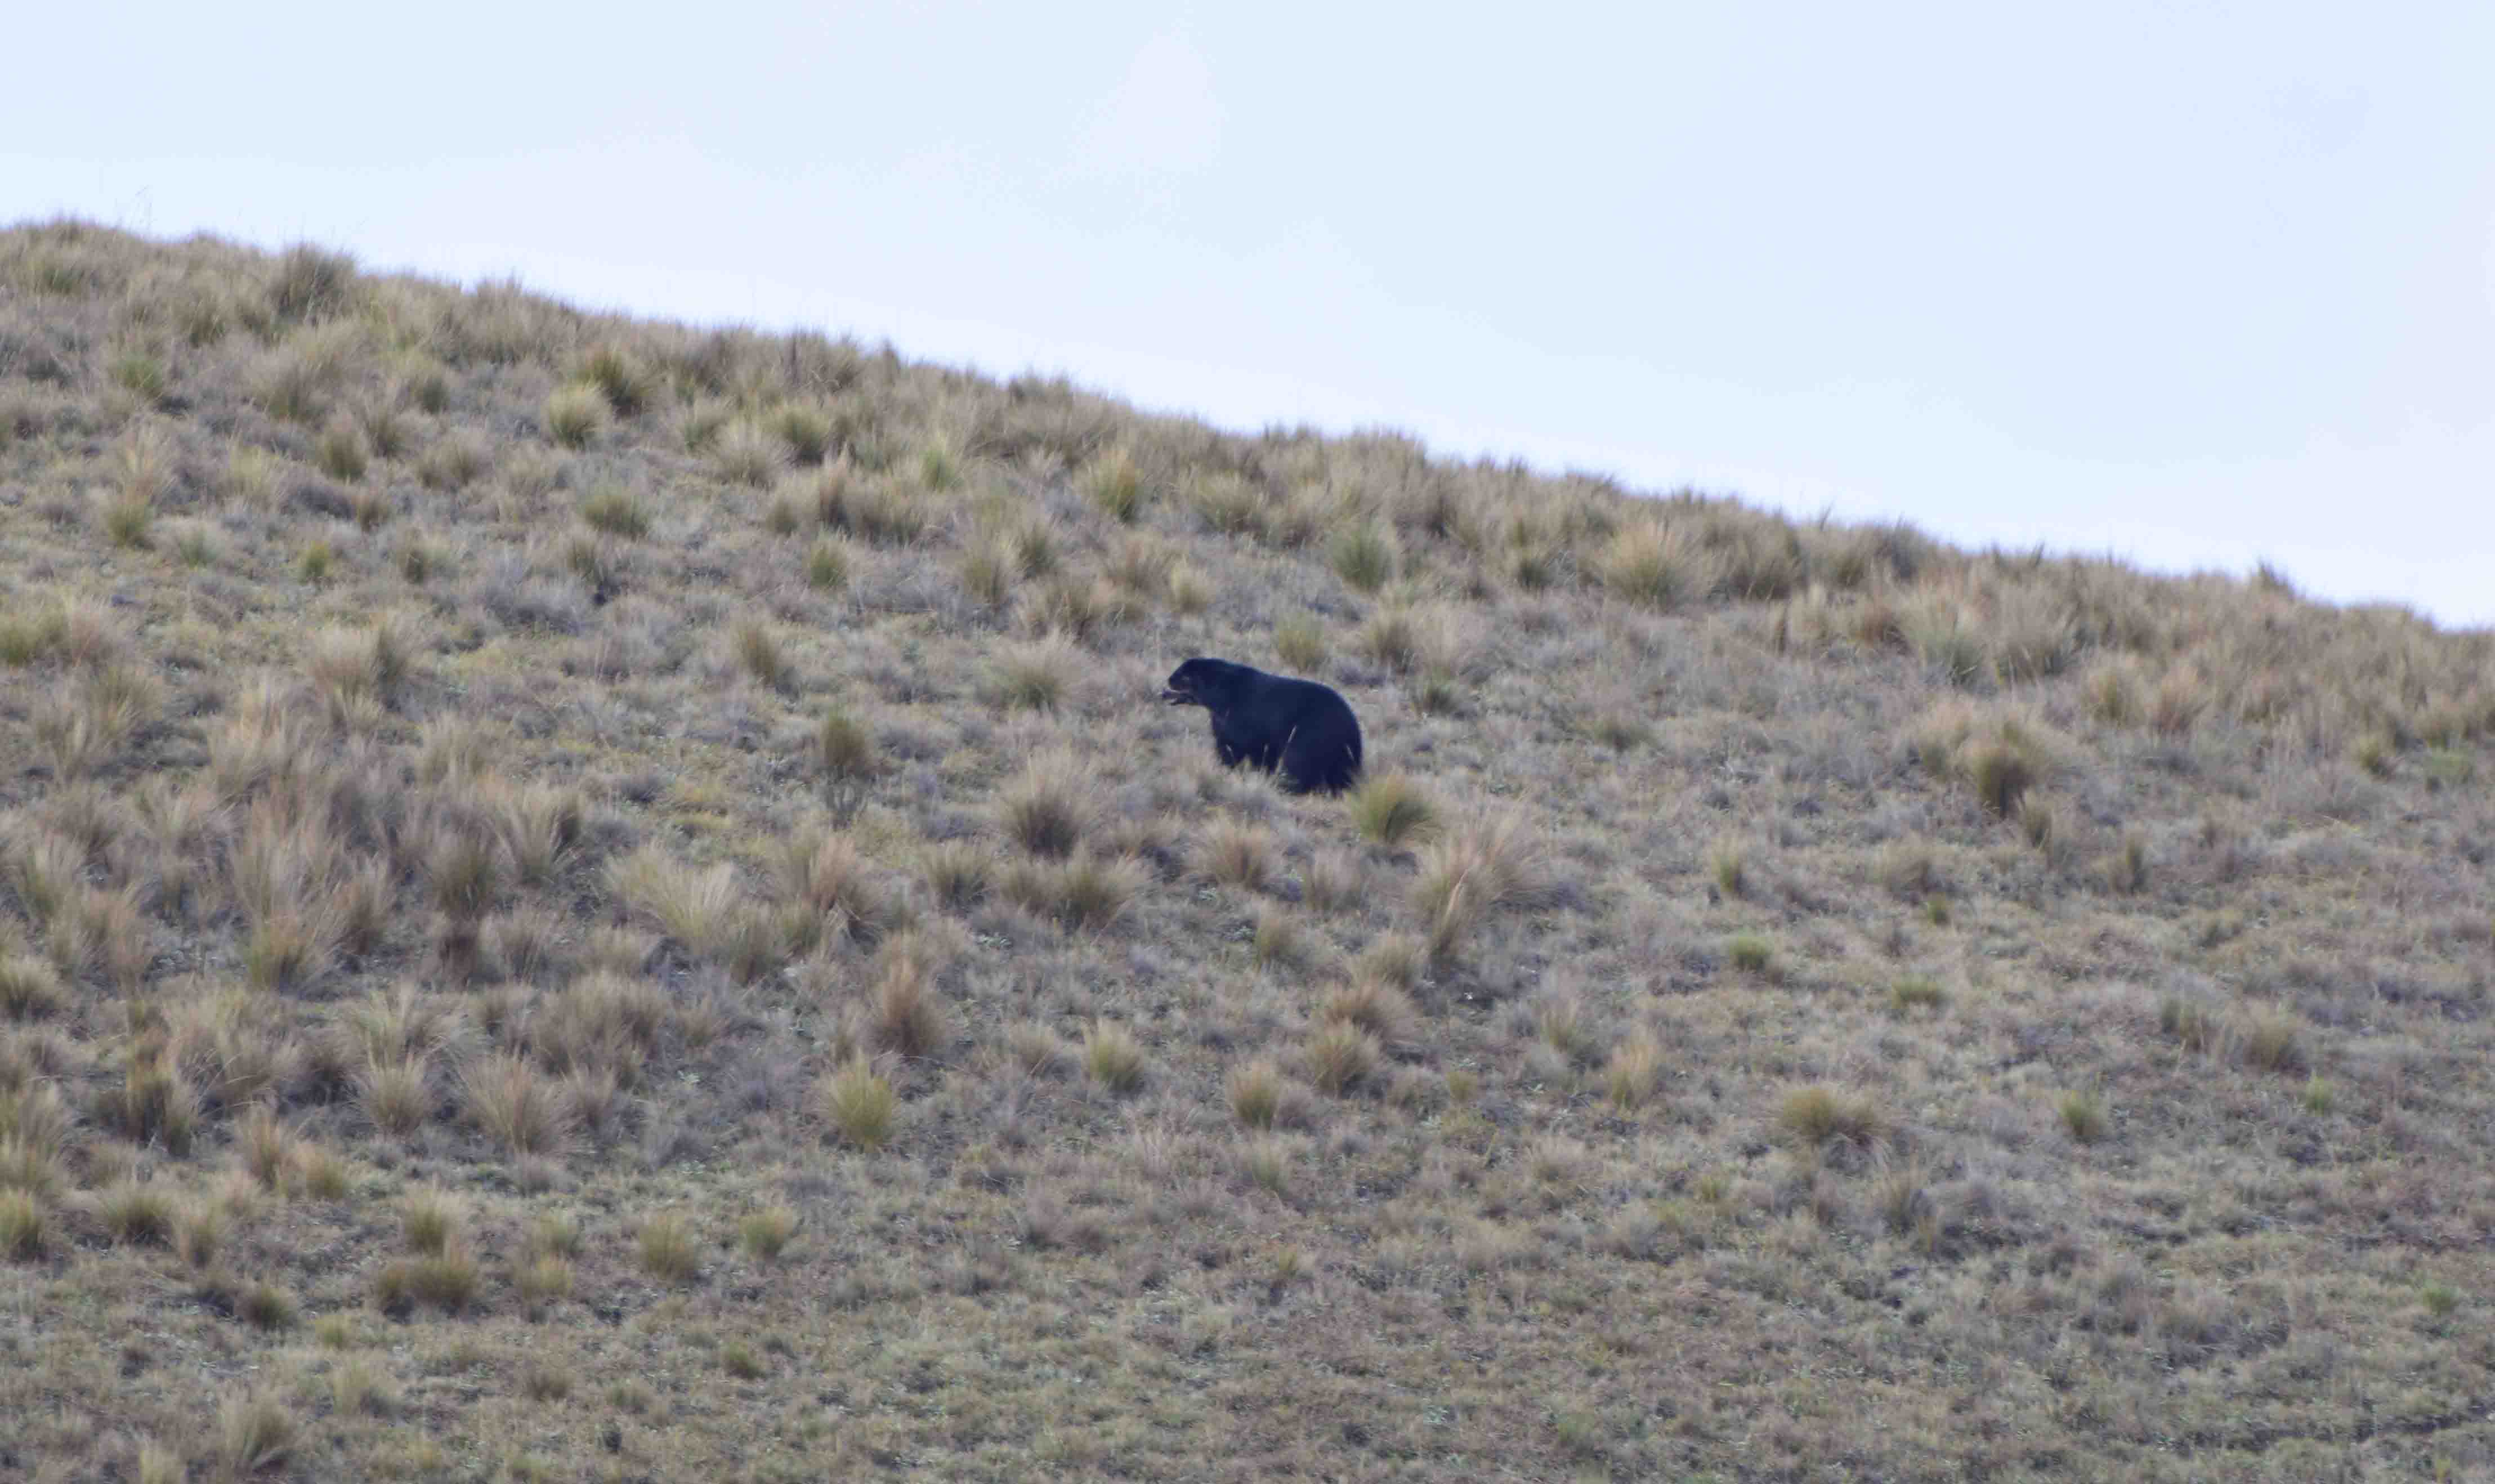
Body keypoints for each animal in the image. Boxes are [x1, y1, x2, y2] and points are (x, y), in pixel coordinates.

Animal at [1161, 657, 1365, 796]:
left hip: (1313, 733)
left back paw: (1288, 787)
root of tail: (1353, 729)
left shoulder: (1239, 719)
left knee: (1298, 761)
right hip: (1338, 749)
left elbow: (1237, 747)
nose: (1169, 680)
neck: (1221, 692)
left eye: (1183, 675)